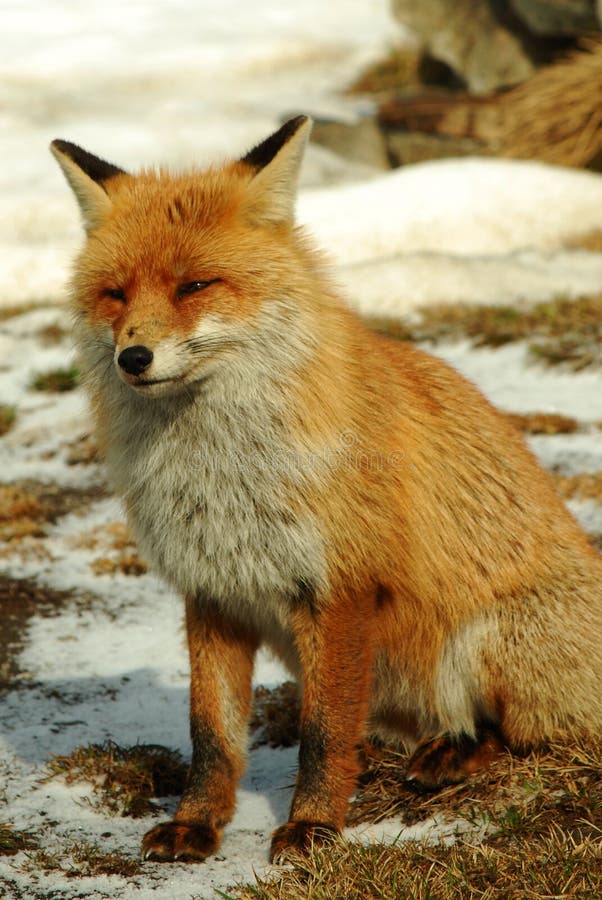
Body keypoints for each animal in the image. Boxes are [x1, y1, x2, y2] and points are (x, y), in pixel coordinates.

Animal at [51, 116, 602, 863]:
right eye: (114, 293)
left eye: (194, 286)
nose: (132, 358)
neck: (222, 472)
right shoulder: (212, 591)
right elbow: (211, 736)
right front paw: (197, 823)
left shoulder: (340, 588)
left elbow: (324, 731)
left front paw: (312, 828)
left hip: (491, 640)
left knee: (534, 736)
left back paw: (456, 752)